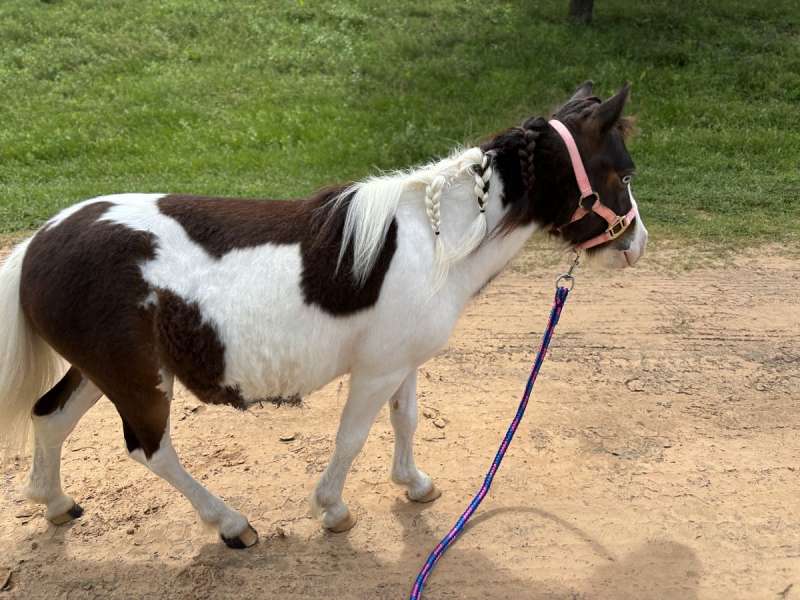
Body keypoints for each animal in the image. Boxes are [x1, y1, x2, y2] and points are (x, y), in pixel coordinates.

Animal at [0, 81, 647, 549]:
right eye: (622, 171)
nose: (636, 244)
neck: (435, 241)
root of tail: (37, 244)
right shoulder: (376, 370)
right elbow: (352, 437)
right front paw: (333, 510)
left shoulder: (401, 362)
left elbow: (407, 419)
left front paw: (414, 485)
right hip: (138, 381)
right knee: (149, 449)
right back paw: (232, 525)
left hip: (105, 372)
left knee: (49, 417)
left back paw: (55, 504)